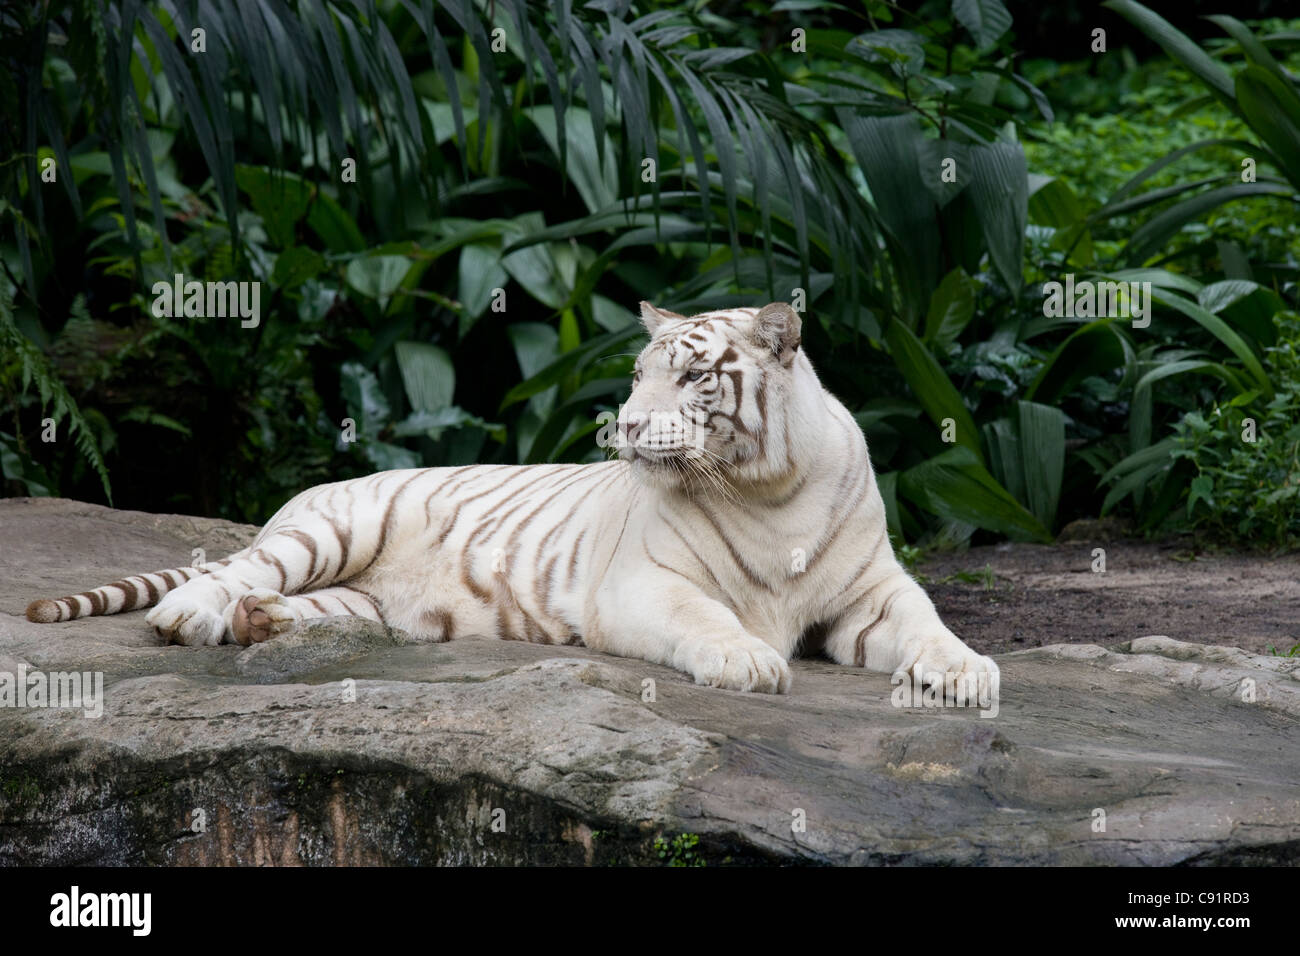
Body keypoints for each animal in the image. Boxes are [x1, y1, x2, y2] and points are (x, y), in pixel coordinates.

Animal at [25, 301, 998, 694]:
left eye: (692, 378)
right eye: (638, 376)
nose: (626, 429)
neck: (770, 489)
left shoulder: (872, 590)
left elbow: (927, 624)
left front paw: (965, 673)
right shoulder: (642, 586)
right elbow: (709, 619)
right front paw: (748, 661)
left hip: (364, 600)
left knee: (295, 604)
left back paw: (265, 624)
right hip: (331, 530)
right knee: (234, 572)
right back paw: (188, 615)